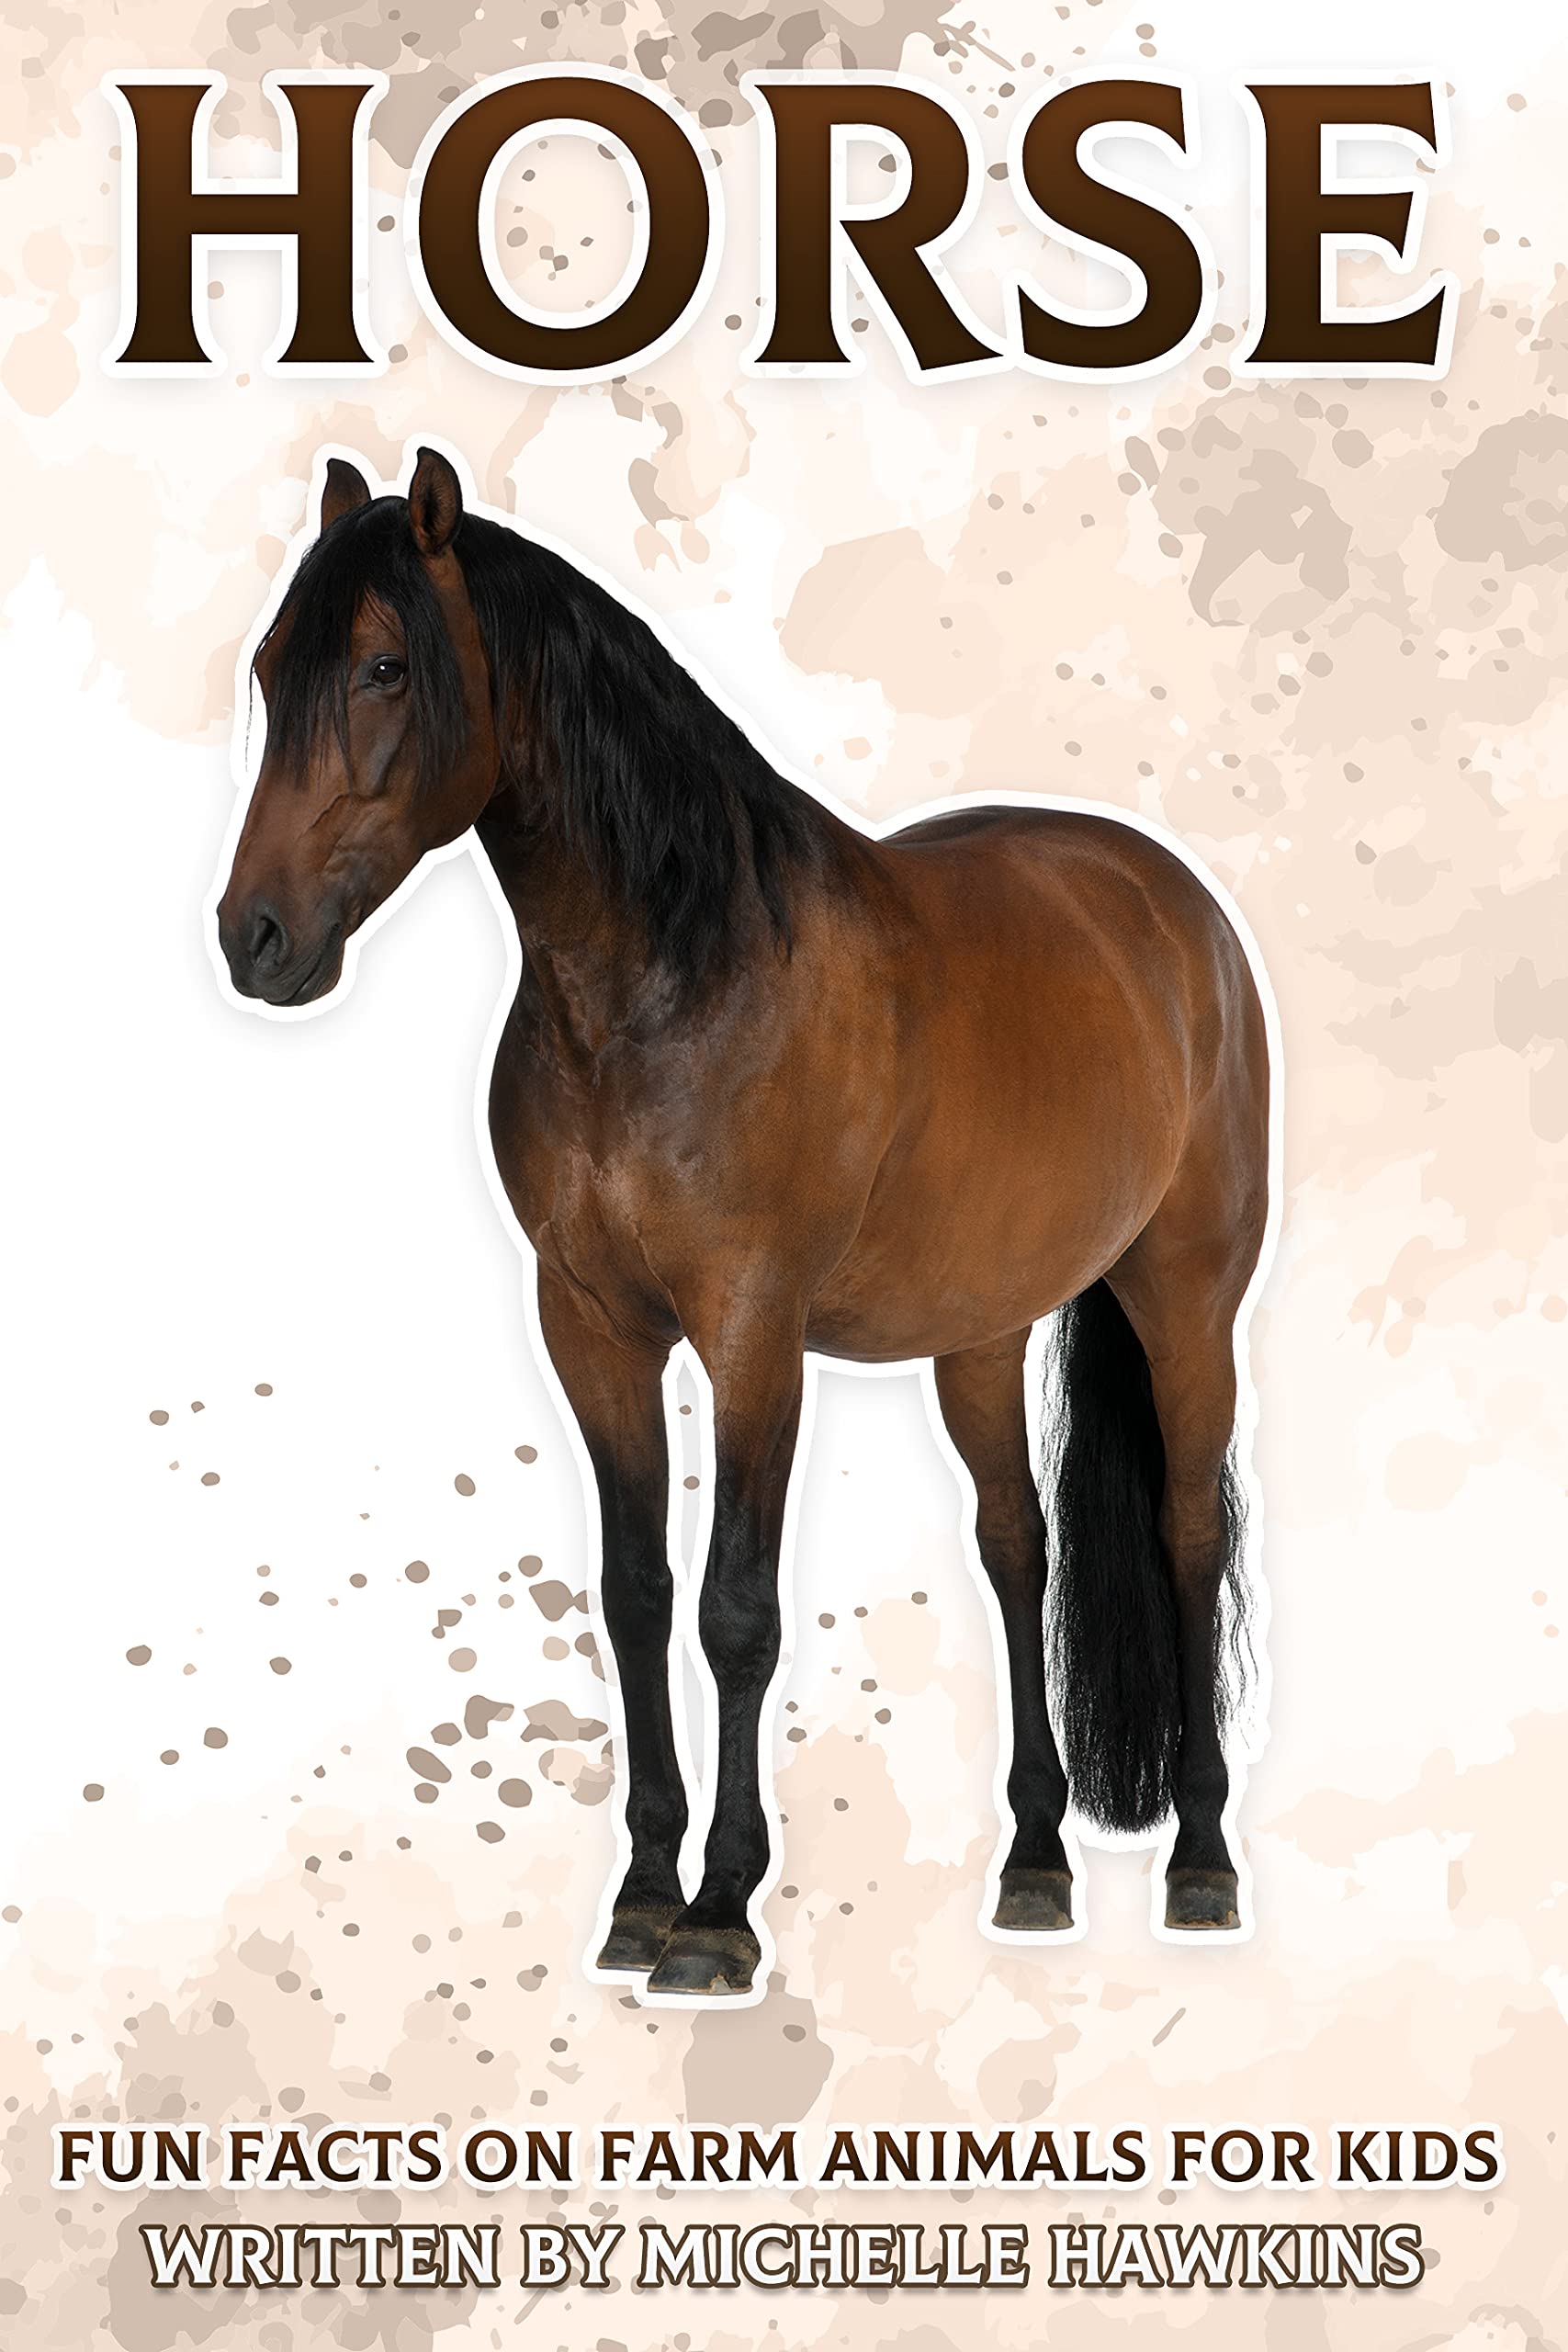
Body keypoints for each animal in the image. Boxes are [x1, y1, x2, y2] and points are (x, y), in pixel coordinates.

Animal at [216, 446, 1272, 1999]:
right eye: (268, 672)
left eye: (383, 667)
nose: (256, 939)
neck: (669, 981)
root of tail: (1176, 908)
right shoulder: (590, 1327)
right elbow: (636, 1594)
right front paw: (639, 1893)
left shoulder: (750, 1337)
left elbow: (734, 1609)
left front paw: (716, 1912)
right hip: (976, 1335)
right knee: (1013, 1546)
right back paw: (1031, 1862)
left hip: (1184, 1302)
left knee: (1185, 1532)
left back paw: (1201, 1858)